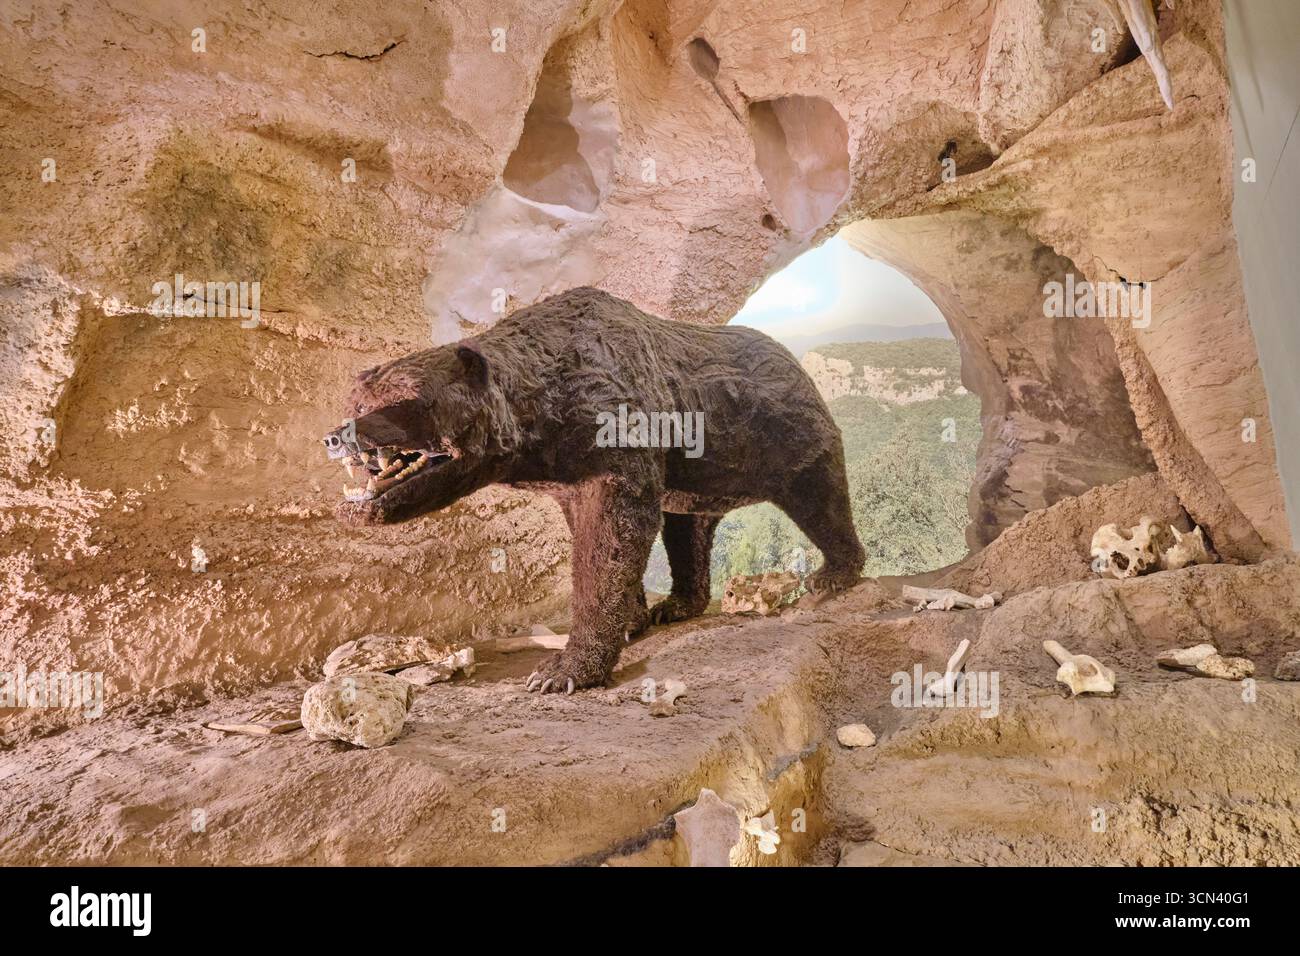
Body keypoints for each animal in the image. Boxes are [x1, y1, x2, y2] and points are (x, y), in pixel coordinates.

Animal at [322, 287, 865, 693]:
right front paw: (633, 618)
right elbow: (609, 541)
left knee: (821, 494)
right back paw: (678, 604)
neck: (545, 417)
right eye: (358, 399)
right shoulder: (571, 474)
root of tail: (795, 357)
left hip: (787, 431)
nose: (337, 435)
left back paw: (833, 575)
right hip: (697, 473)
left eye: (405, 397)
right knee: (690, 526)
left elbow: (610, 541)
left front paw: (562, 670)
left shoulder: (614, 437)